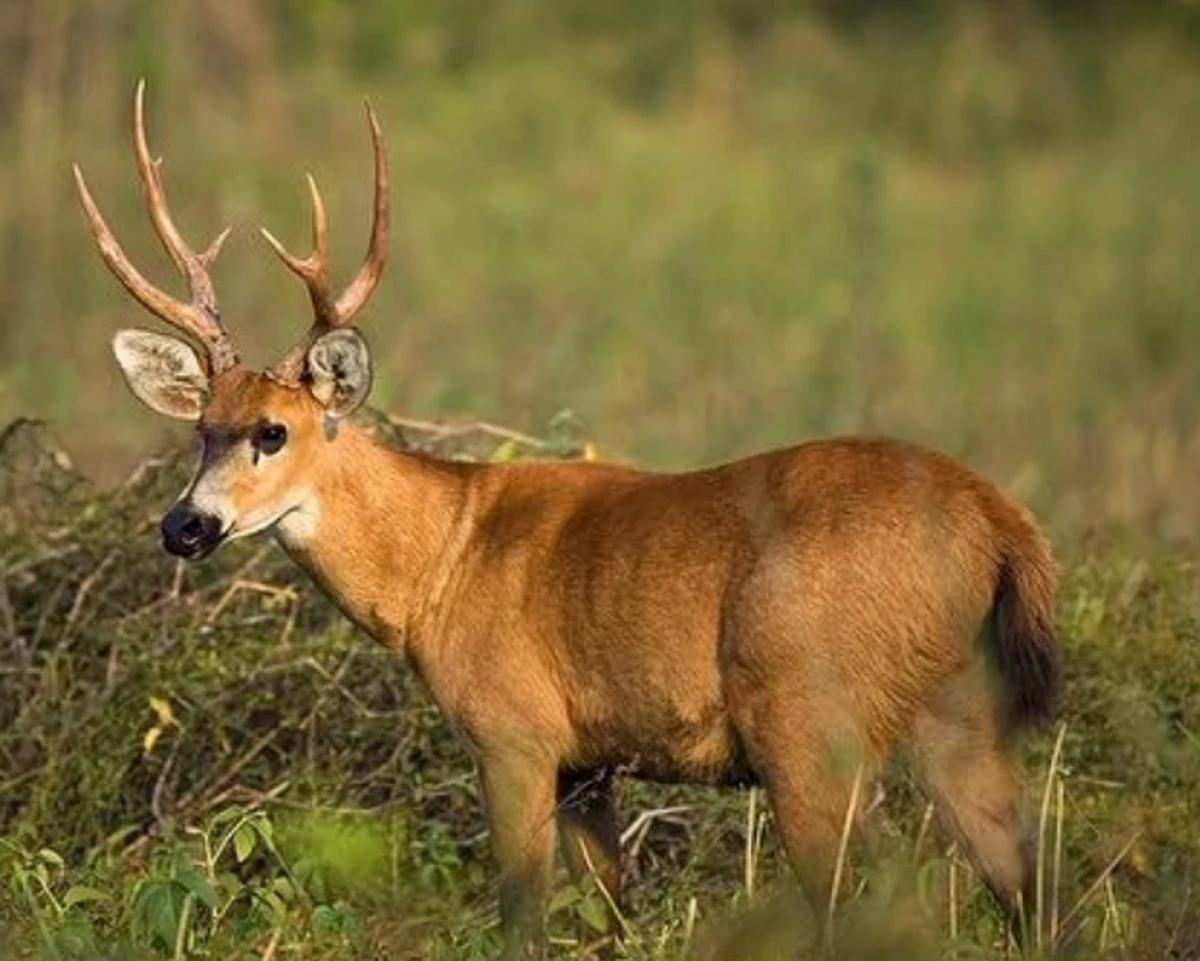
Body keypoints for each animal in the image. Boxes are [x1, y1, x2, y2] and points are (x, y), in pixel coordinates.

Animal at [76, 82, 1060, 959]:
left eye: (272, 430)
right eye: (201, 428)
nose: (183, 526)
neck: (441, 559)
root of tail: (999, 518)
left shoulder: (516, 731)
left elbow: (522, 914)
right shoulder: (591, 761)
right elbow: (608, 920)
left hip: (809, 716)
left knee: (869, 897)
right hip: (957, 708)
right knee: (1024, 884)